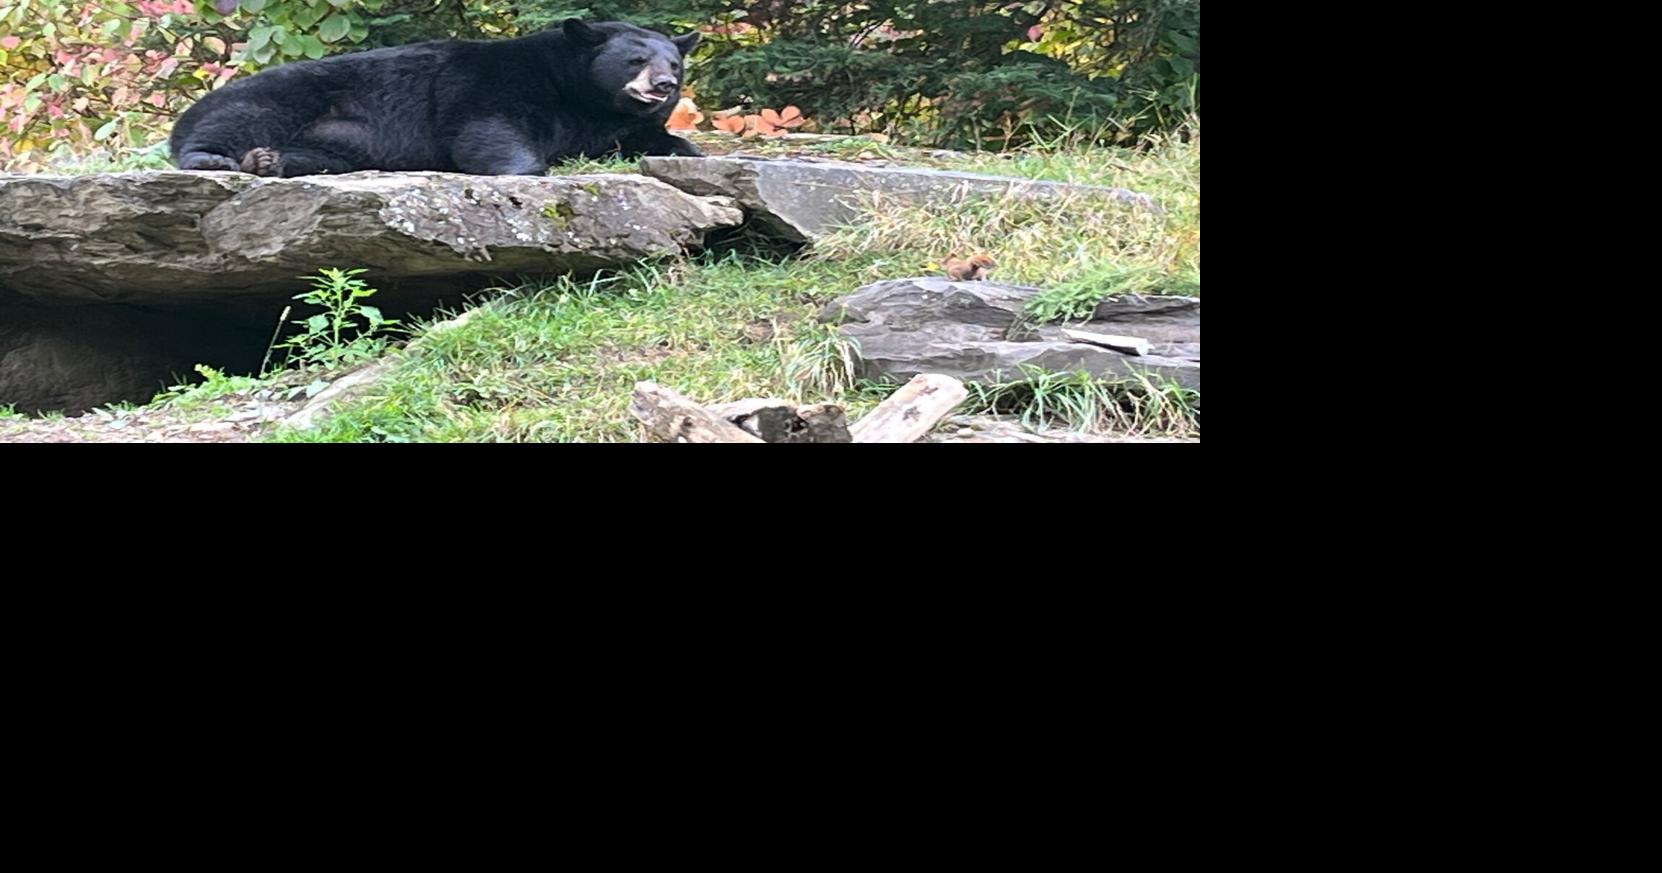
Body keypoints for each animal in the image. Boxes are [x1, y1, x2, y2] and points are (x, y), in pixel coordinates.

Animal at [169, 19, 702, 178]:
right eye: (635, 60)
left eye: (674, 64)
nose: (663, 85)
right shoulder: (493, 77)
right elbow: (484, 125)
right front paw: (524, 171)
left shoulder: (612, 123)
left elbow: (651, 138)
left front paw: (686, 151)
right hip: (290, 92)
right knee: (241, 115)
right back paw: (216, 158)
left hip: (339, 144)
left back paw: (270, 162)